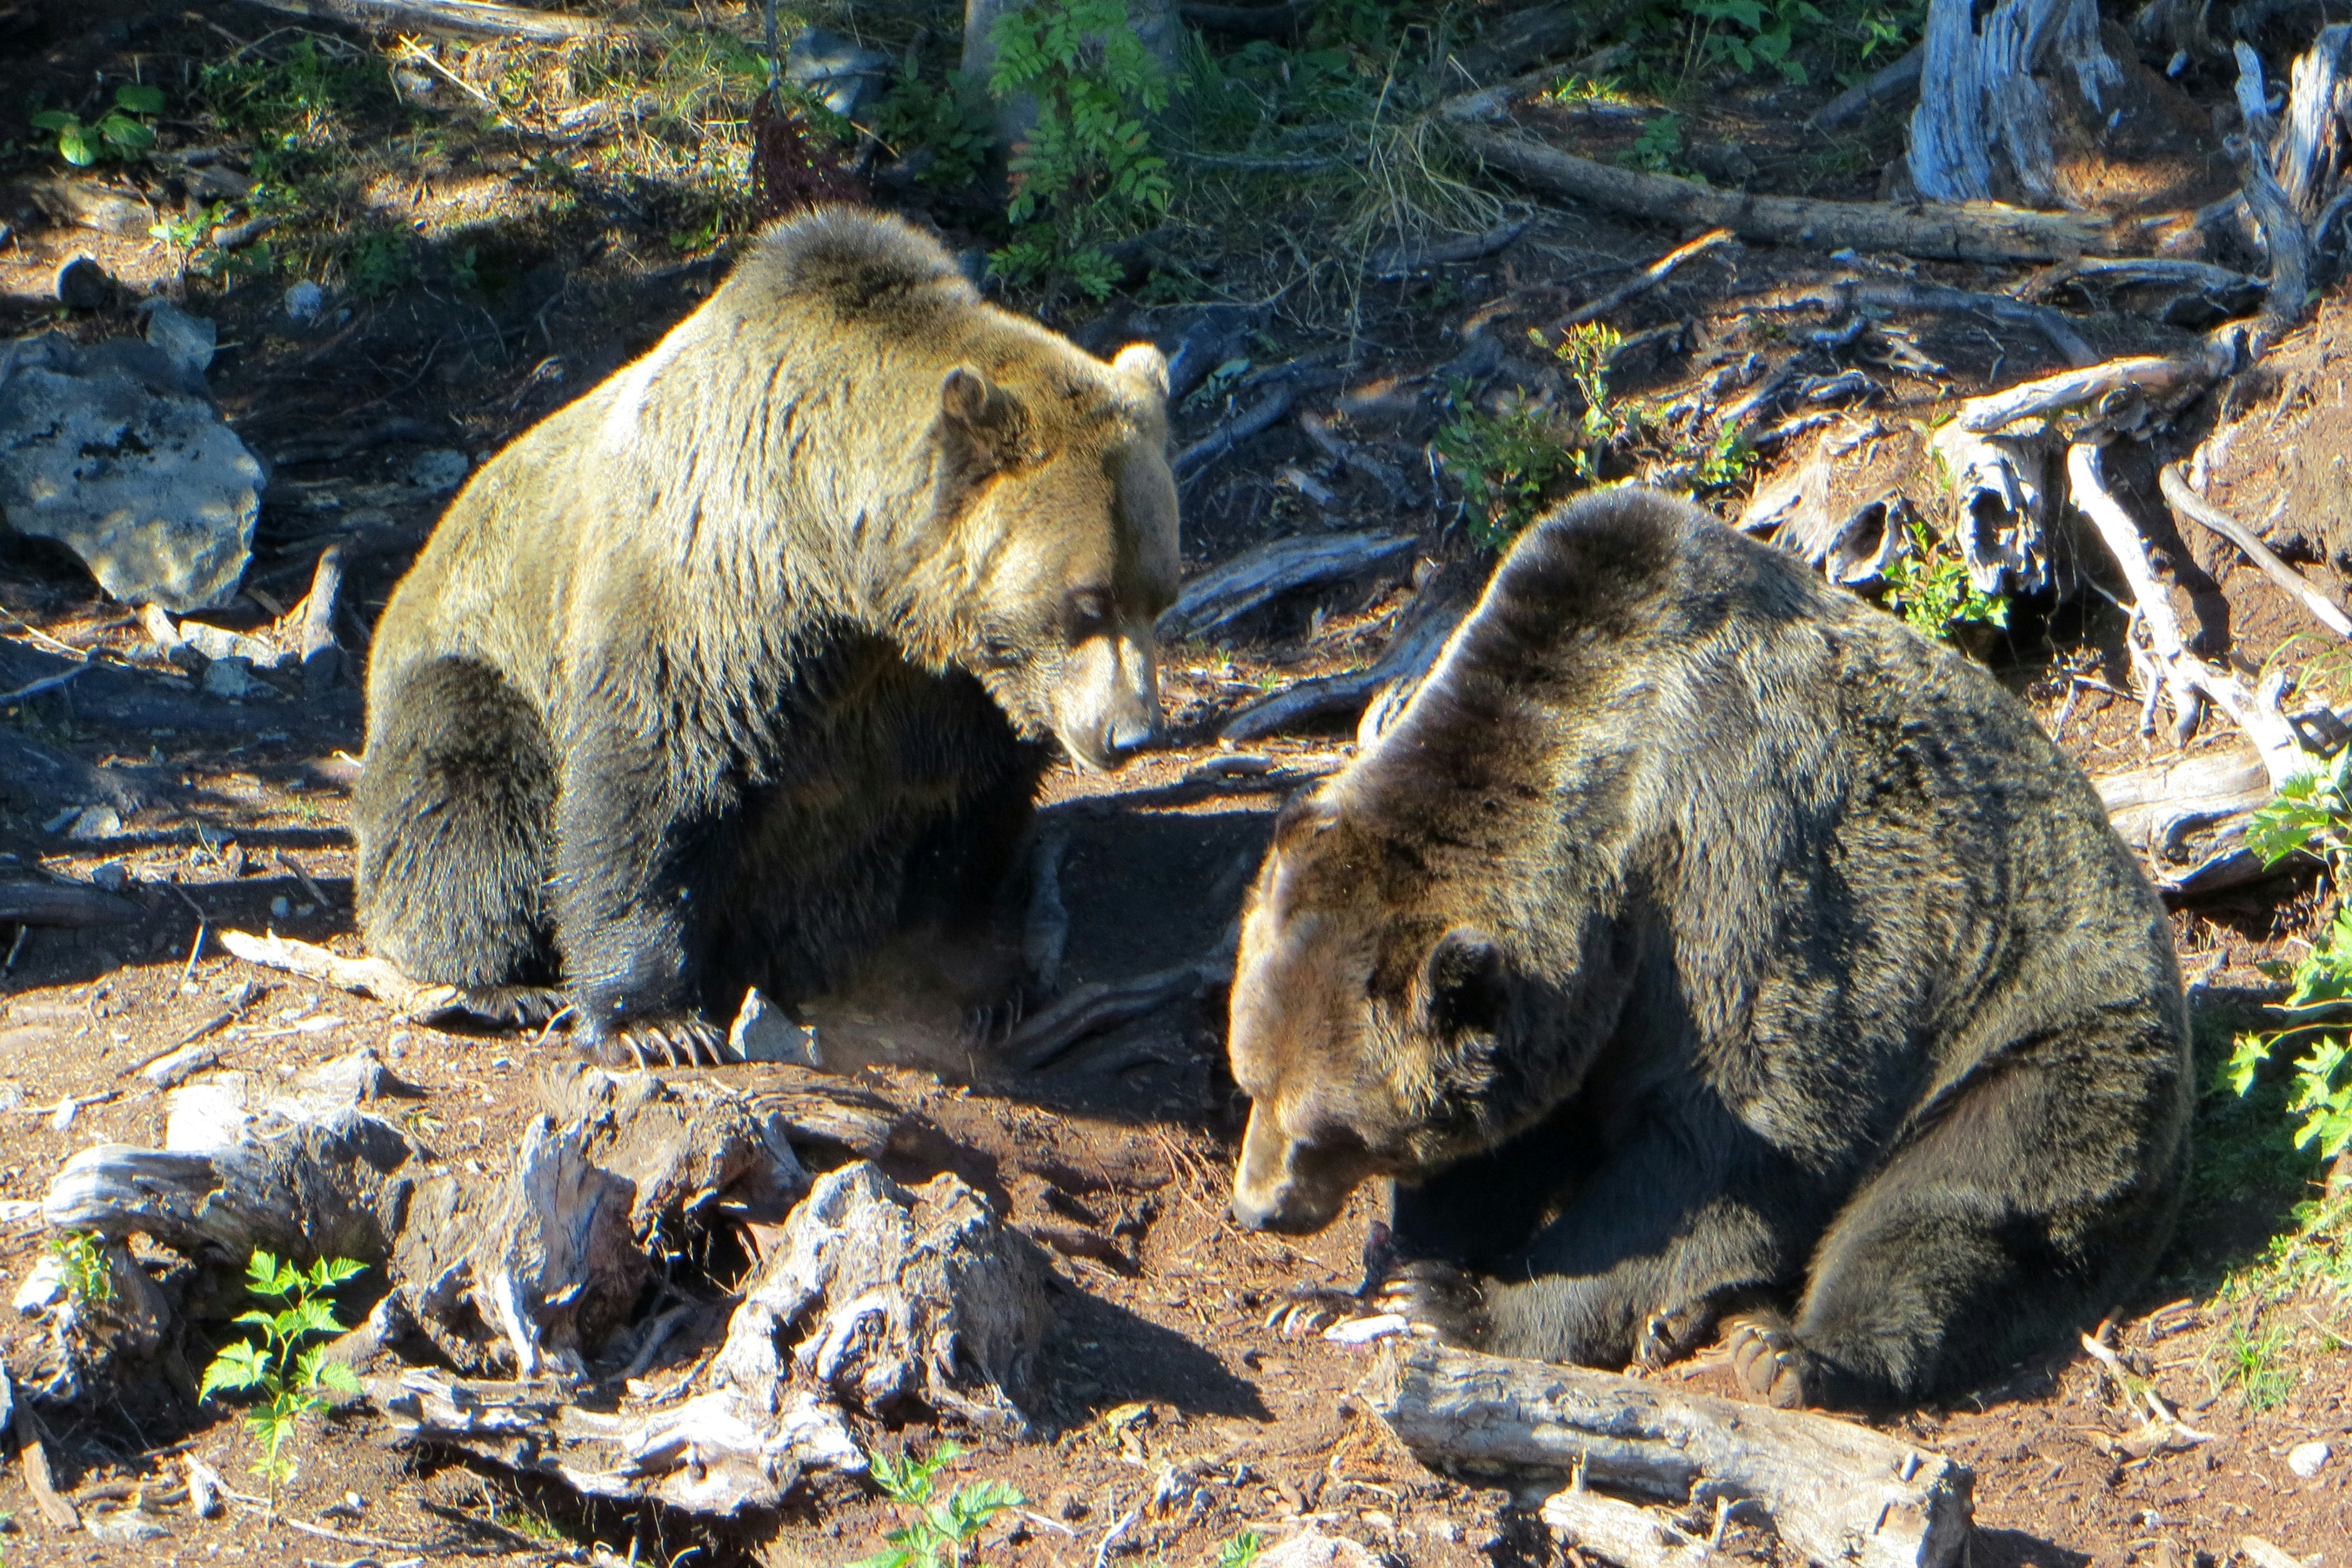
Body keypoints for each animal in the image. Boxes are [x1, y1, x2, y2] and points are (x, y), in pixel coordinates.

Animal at [354, 206, 1179, 1067]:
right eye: (1087, 602)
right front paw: (657, 1022)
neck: (847, 575)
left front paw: (981, 982)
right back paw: (494, 980)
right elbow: (652, 778)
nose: (1130, 732)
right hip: (474, 656)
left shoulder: (947, 690)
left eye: (1161, 594)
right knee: (465, 796)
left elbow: (973, 809)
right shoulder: (714, 602)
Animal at [1224, 486, 2192, 1411]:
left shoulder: (1740, 878)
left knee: (1951, 1202)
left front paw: (1455, 1302)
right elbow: (1502, 1150)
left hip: (2049, 1037)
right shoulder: (1571, 1016)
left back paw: (1797, 1355)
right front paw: (1339, 1293)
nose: (1259, 1207)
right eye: (1250, 1082)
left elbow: (1727, 1149)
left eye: (1325, 1126)